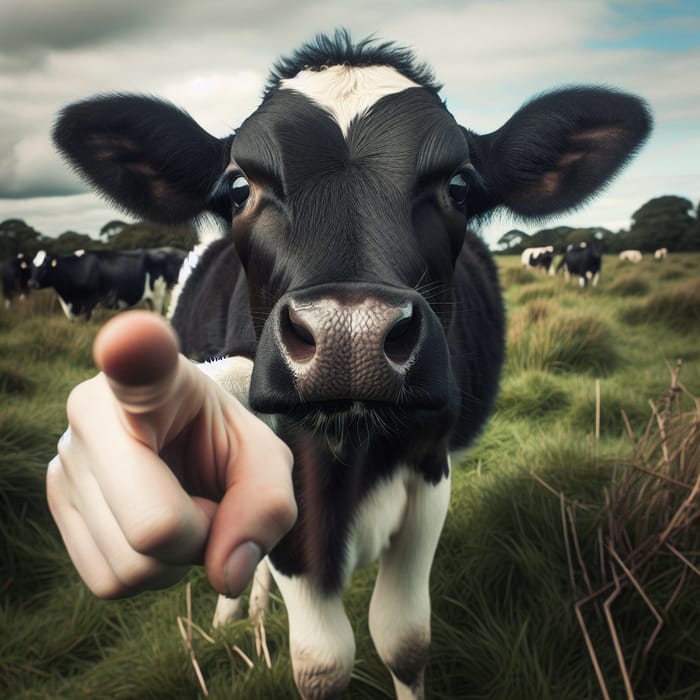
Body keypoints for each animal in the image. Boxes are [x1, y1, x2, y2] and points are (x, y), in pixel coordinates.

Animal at [30, 248, 184, 319]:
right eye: (31, 267)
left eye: (45, 267)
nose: (31, 283)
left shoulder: (90, 302)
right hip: (149, 299)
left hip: (157, 296)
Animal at [50, 31, 651, 699]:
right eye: (238, 188)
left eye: (459, 186)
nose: (350, 338)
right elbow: (321, 661)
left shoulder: (430, 468)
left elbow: (404, 639)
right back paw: (233, 614)